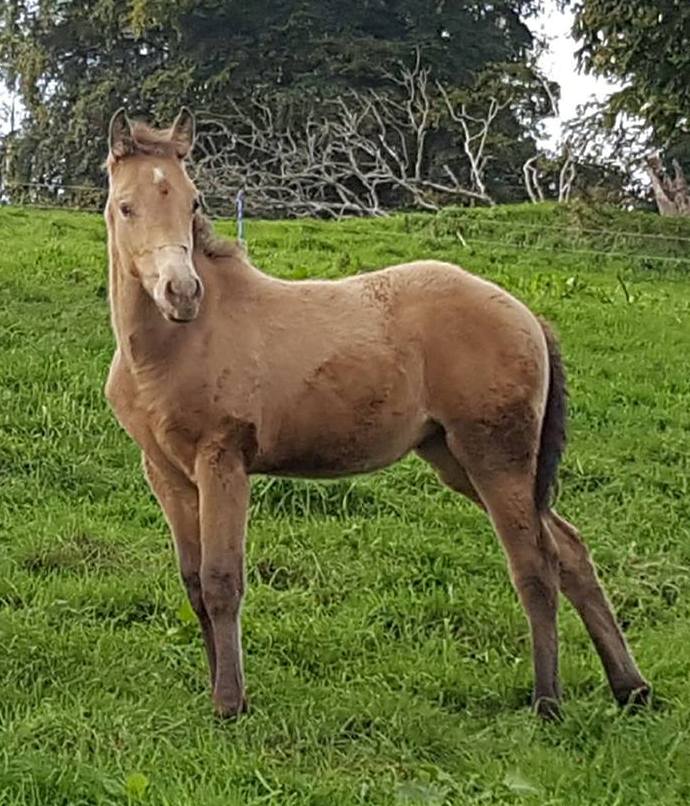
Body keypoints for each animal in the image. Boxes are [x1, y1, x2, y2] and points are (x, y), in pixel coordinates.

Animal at [103, 106, 649, 719]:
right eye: (126, 206)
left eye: (193, 201)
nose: (182, 293)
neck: (177, 345)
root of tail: (528, 313)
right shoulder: (166, 471)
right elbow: (194, 583)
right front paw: (215, 688)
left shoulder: (223, 460)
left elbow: (223, 580)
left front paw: (229, 704)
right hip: (458, 459)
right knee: (571, 550)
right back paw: (630, 688)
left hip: (496, 458)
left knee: (535, 566)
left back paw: (548, 701)